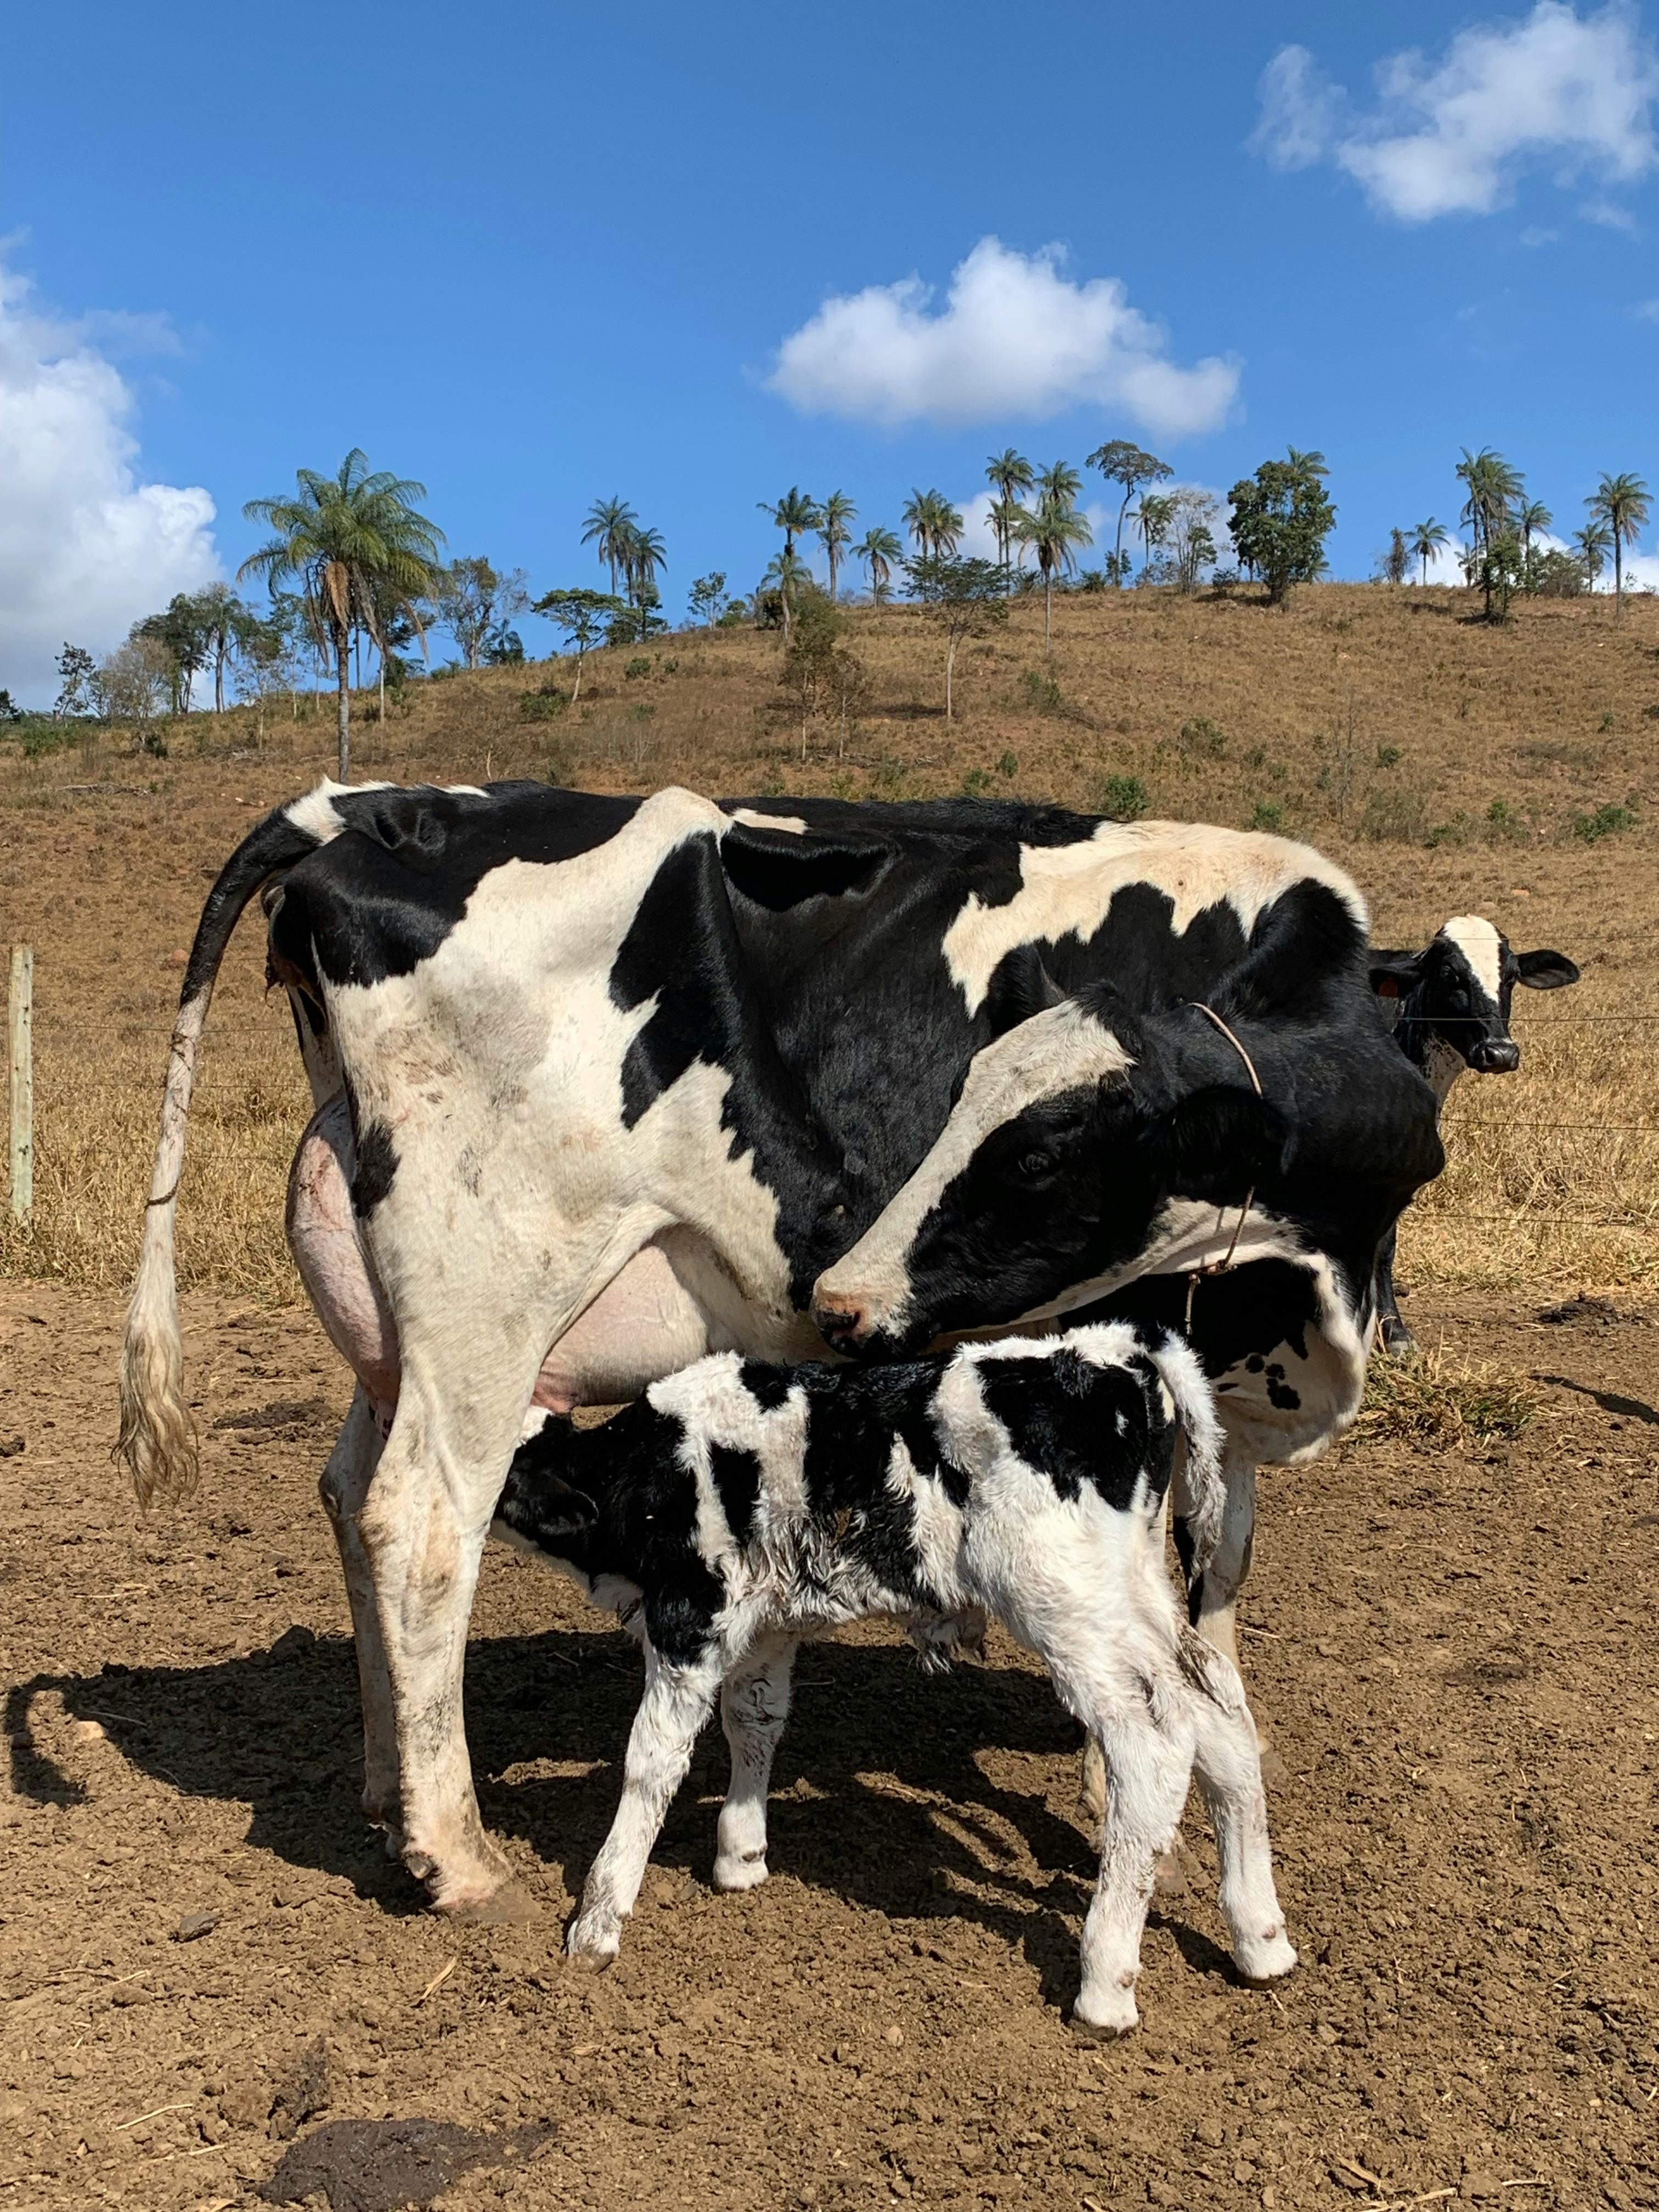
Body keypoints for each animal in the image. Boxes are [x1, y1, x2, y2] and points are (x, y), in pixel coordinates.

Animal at [119, 779, 1442, 1918]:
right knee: (421, 1521)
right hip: (483, 1294)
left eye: (1035, 1153)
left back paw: (388, 1791)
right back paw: (453, 1847)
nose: (850, 1296)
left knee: (346, 1493)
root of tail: (369, 808)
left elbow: (1209, 1579)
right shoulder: (1151, 1335)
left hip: (391, 1328)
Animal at [493, 1321, 1296, 2036]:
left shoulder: (690, 1618)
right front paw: (742, 1857)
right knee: (1219, 1706)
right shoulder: (768, 1623)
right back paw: (1260, 1939)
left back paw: (1106, 1987)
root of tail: (1112, 1348)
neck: (643, 1470)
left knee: (1152, 1744)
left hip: (1065, 1605)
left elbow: (652, 1762)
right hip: (1132, 1591)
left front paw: (597, 1922)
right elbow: (755, 1721)